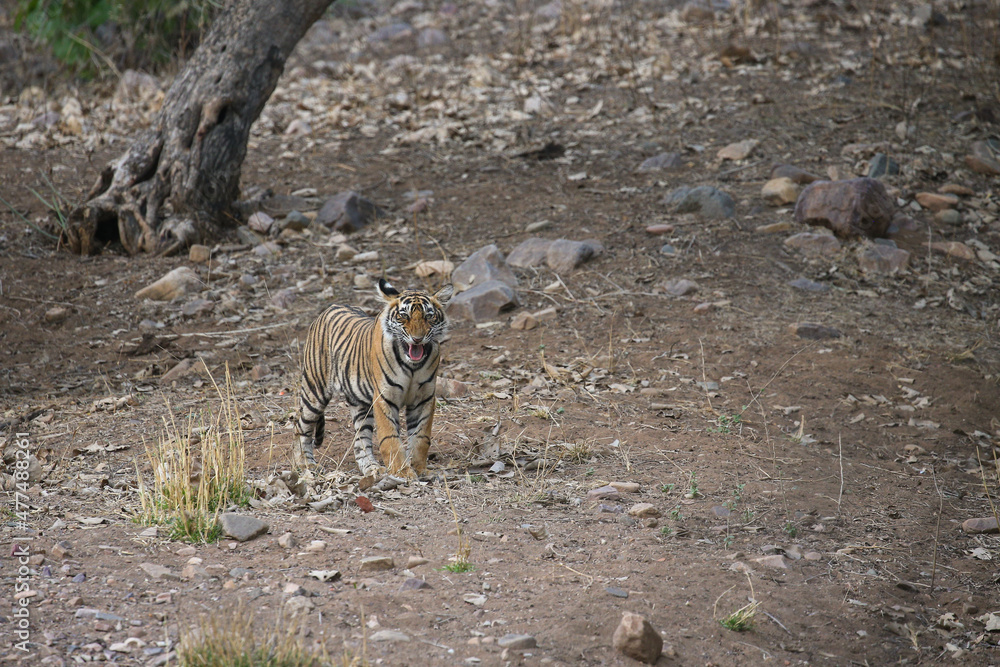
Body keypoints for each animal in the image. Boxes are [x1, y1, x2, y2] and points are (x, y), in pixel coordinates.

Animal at [295, 278, 453, 480]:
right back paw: (306, 464)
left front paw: (419, 469)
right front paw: (402, 472)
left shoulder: (423, 398)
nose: (417, 339)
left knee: (360, 440)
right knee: (300, 426)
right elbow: (390, 437)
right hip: (314, 391)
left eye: (429, 316)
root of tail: (330, 307)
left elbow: (421, 436)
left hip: (360, 404)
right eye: (404, 316)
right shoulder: (384, 397)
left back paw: (372, 468)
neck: (413, 366)